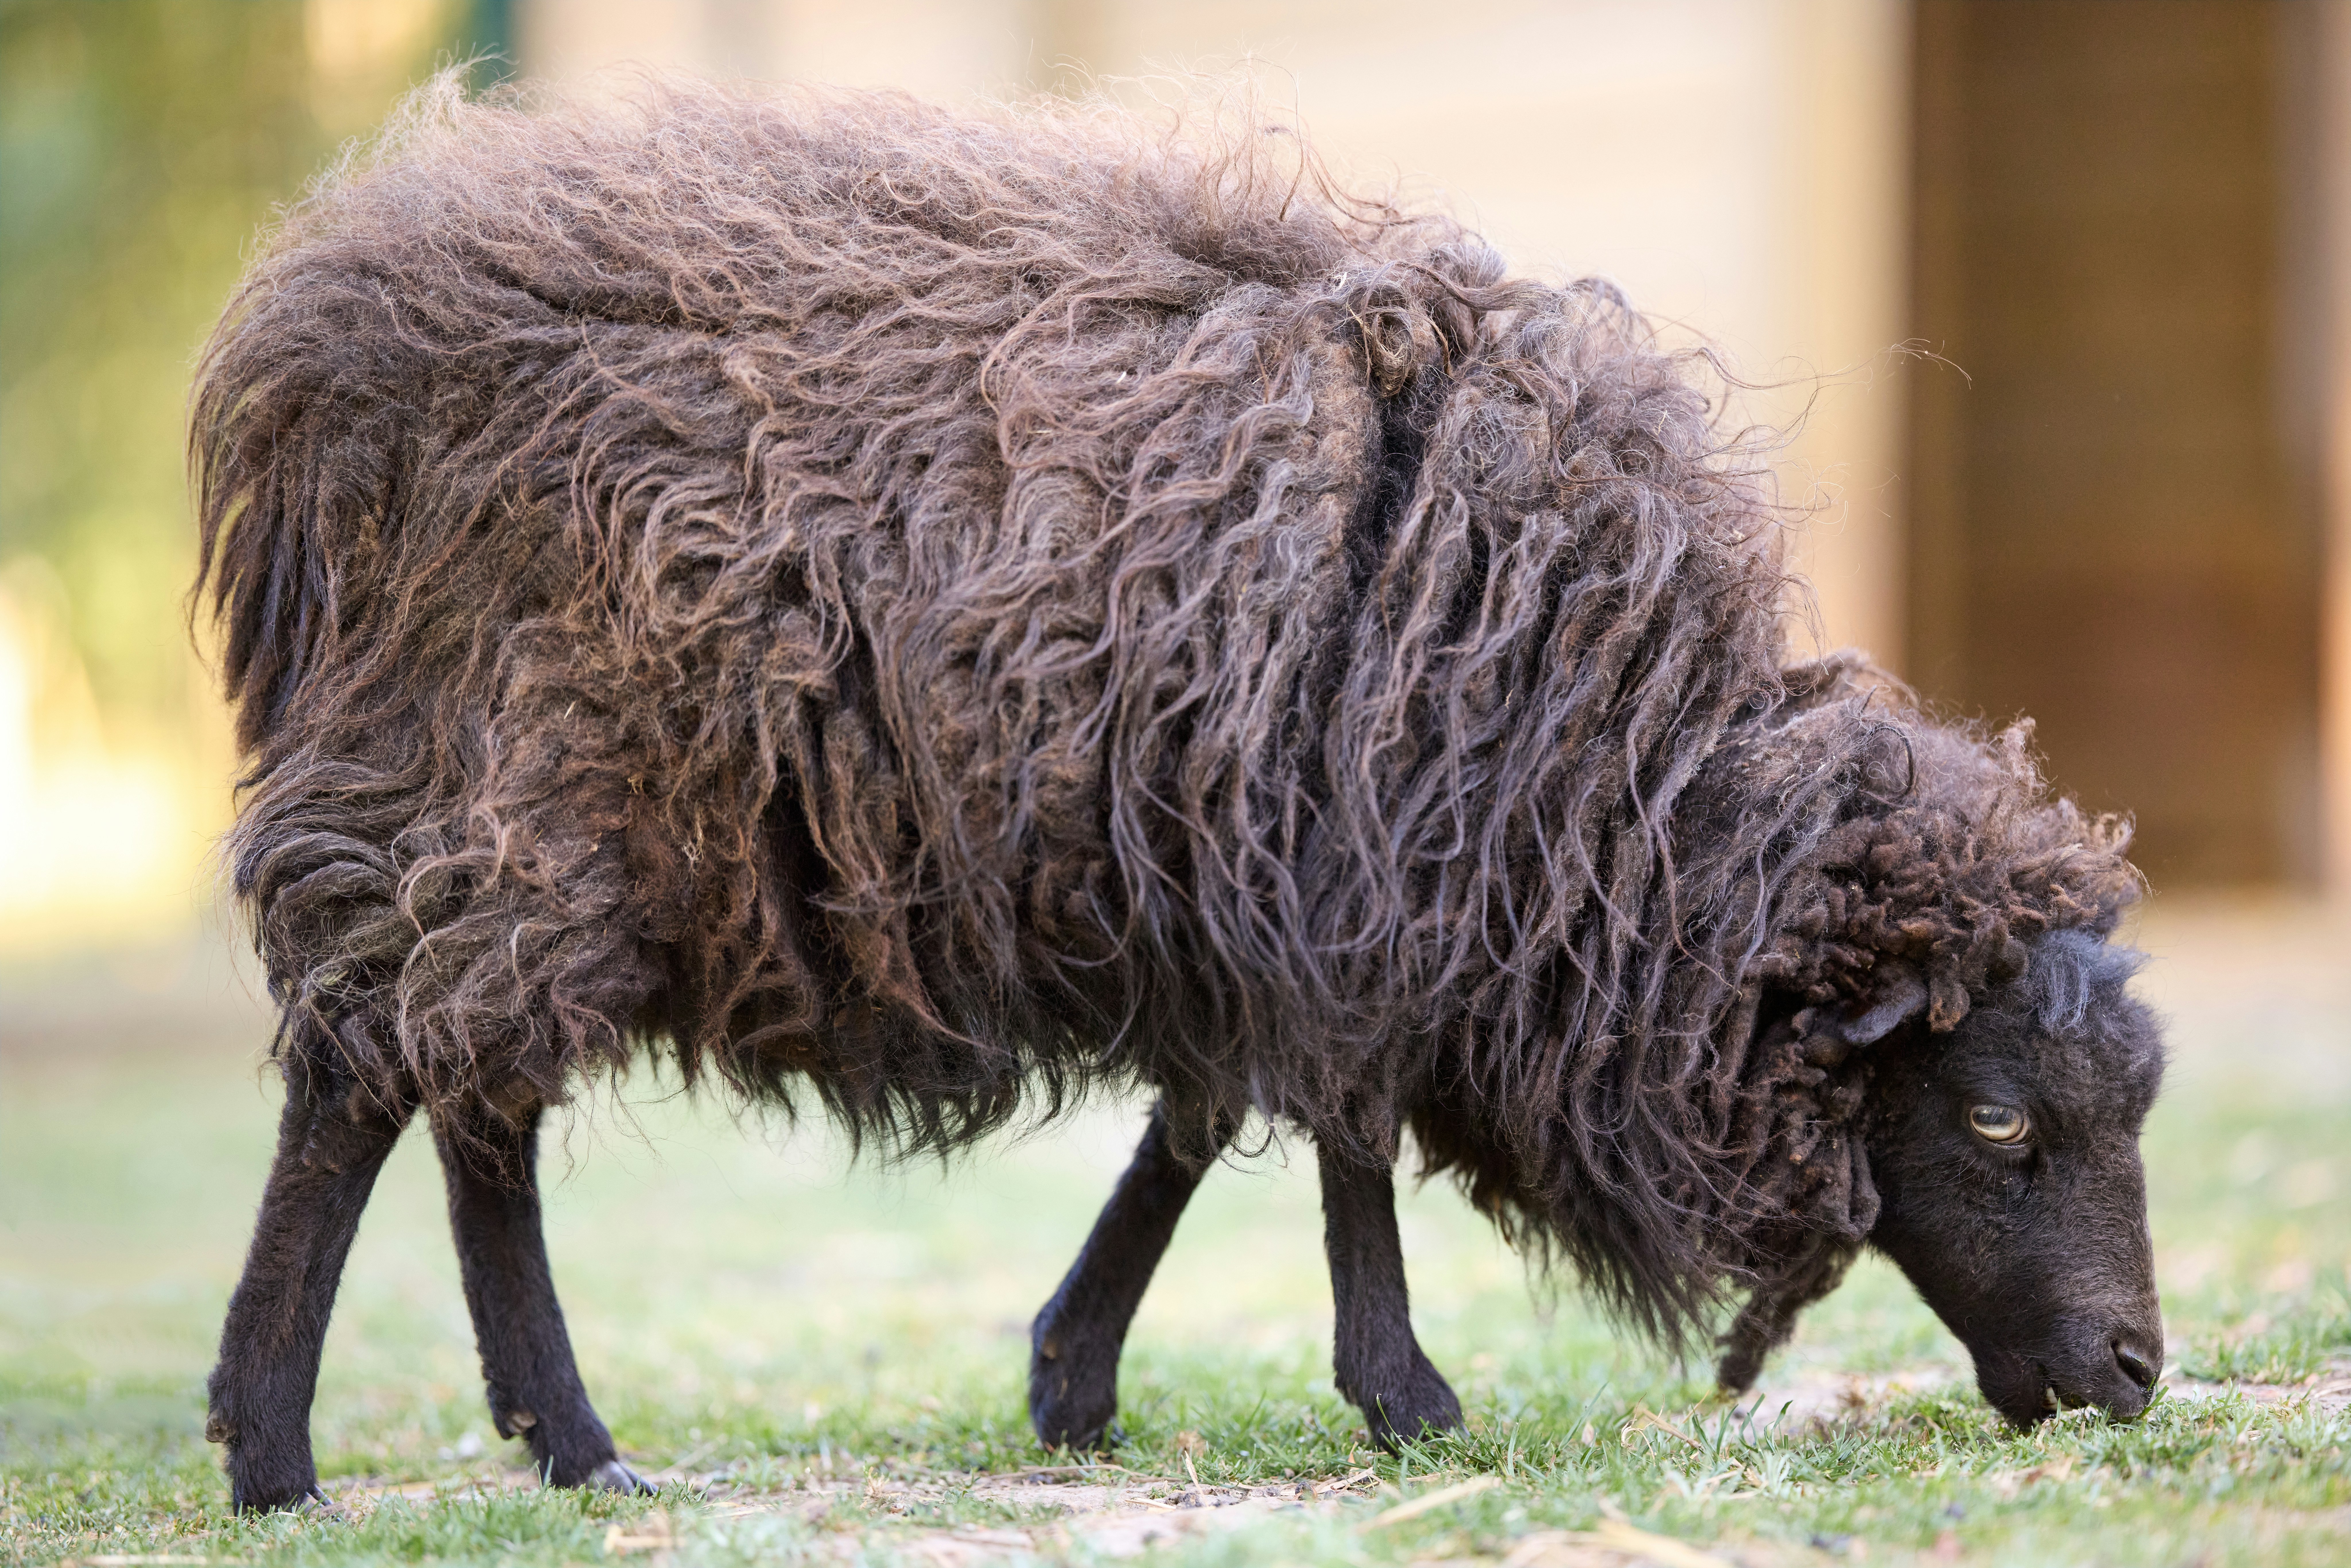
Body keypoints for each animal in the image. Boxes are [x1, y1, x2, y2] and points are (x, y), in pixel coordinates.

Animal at [190, 75, 2164, 1511]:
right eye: (1998, 1118)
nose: (2141, 1371)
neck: (1629, 802)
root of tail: (304, 339)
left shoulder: (1242, 874)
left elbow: (1204, 1115)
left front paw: (1073, 1372)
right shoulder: (1355, 881)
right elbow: (1347, 1139)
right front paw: (1407, 1397)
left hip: (531, 816)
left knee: (477, 1106)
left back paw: (561, 1443)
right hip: (486, 761)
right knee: (367, 1083)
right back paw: (288, 1448)